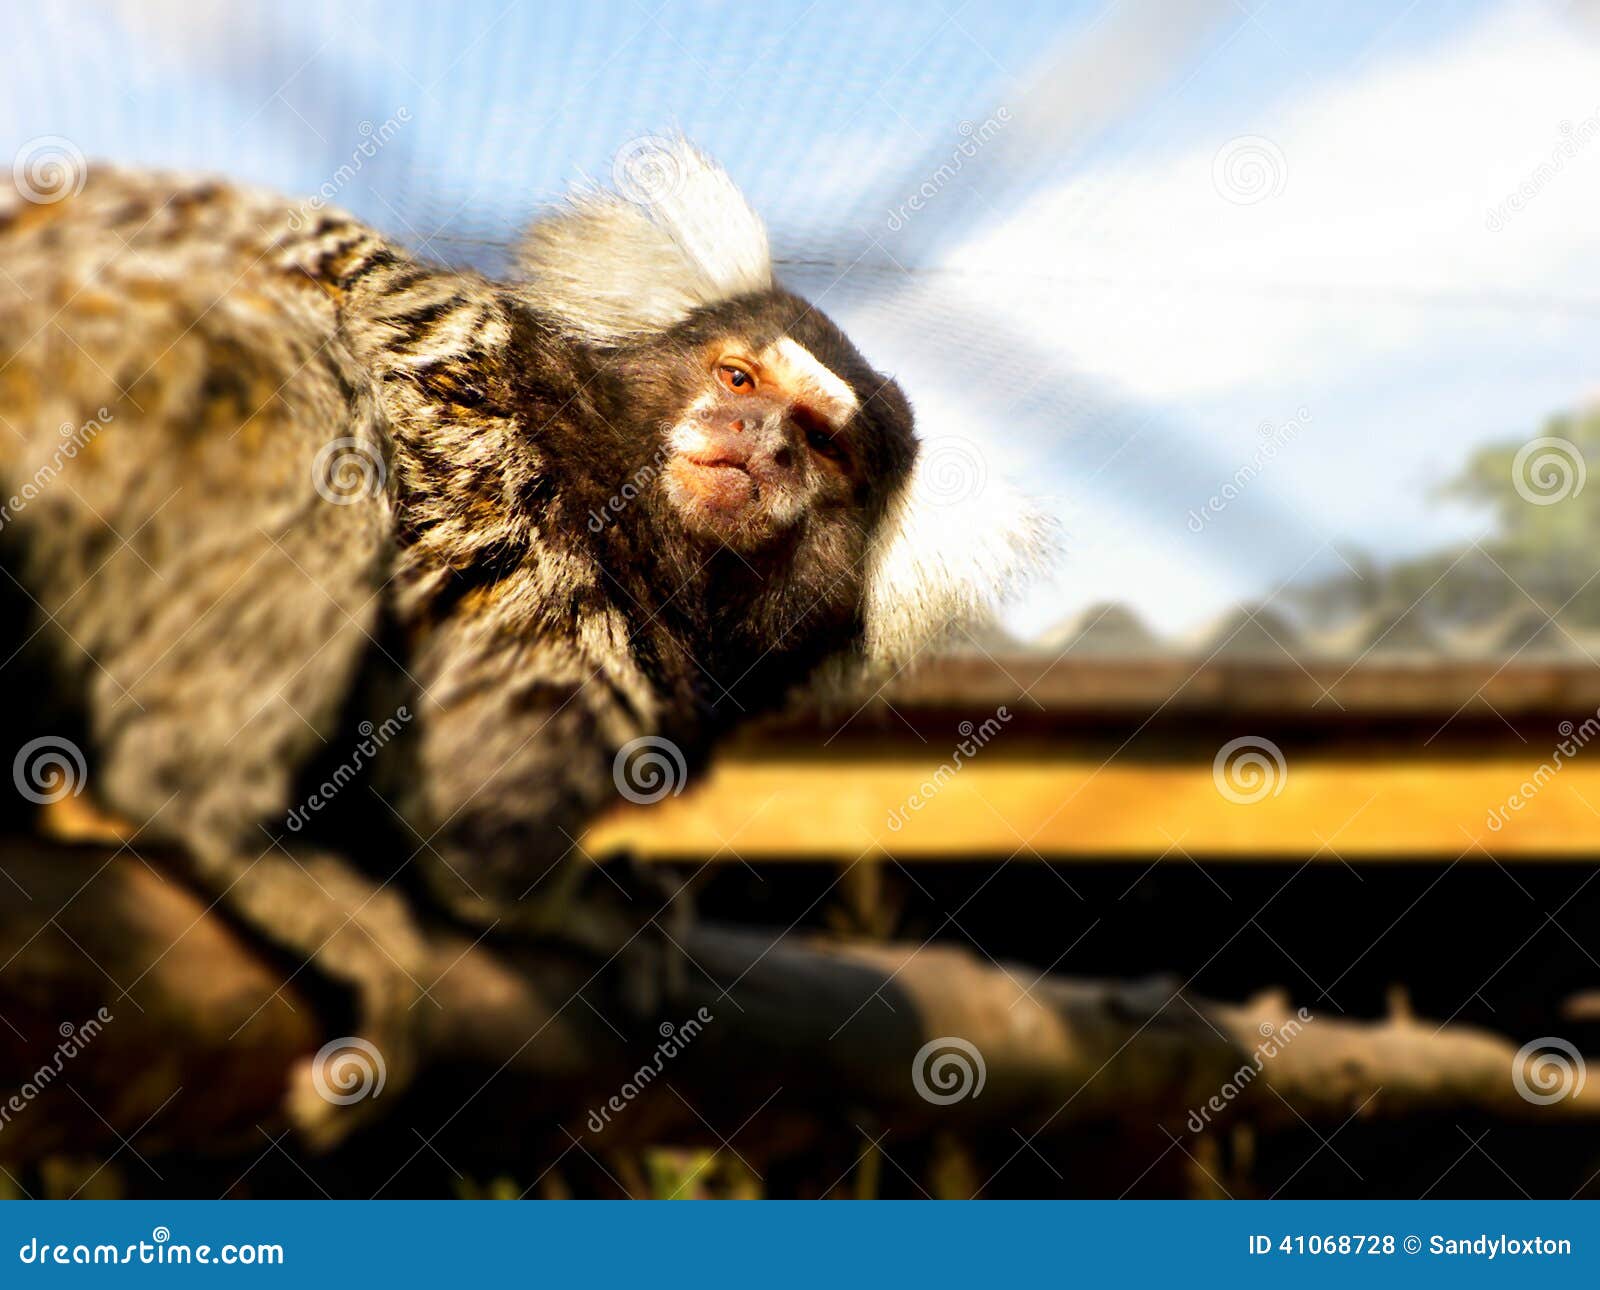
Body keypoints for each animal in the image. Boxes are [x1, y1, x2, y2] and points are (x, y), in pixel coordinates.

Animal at [0, 139, 1046, 1129]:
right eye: (738, 376)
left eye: (821, 442)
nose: (760, 438)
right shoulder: (540, 576)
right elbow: (469, 841)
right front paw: (599, 908)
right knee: (304, 388)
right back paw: (229, 830)